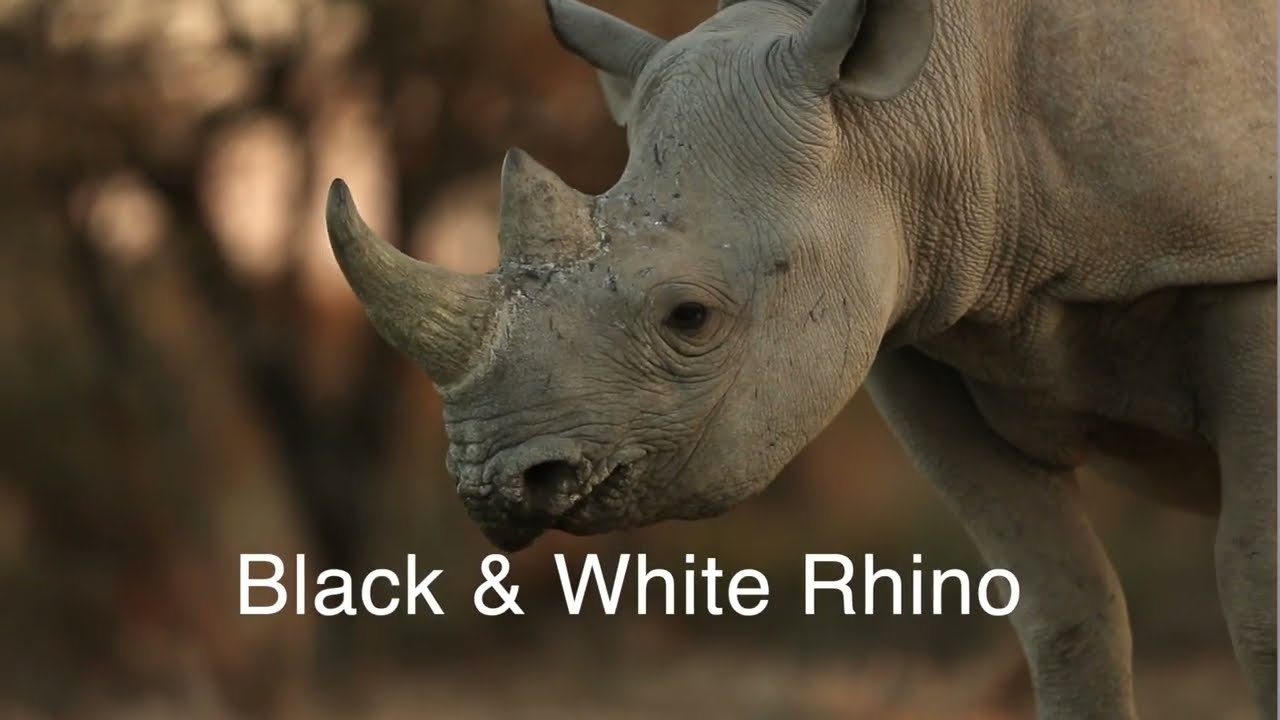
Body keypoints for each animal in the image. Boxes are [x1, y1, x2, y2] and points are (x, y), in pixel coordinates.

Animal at [324, 0, 1277, 716]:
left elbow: (1256, 593)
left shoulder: (1249, 272)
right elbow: (1063, 607)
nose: (496, 486)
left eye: (690, 317)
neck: (919, 113)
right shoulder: (919, 319)